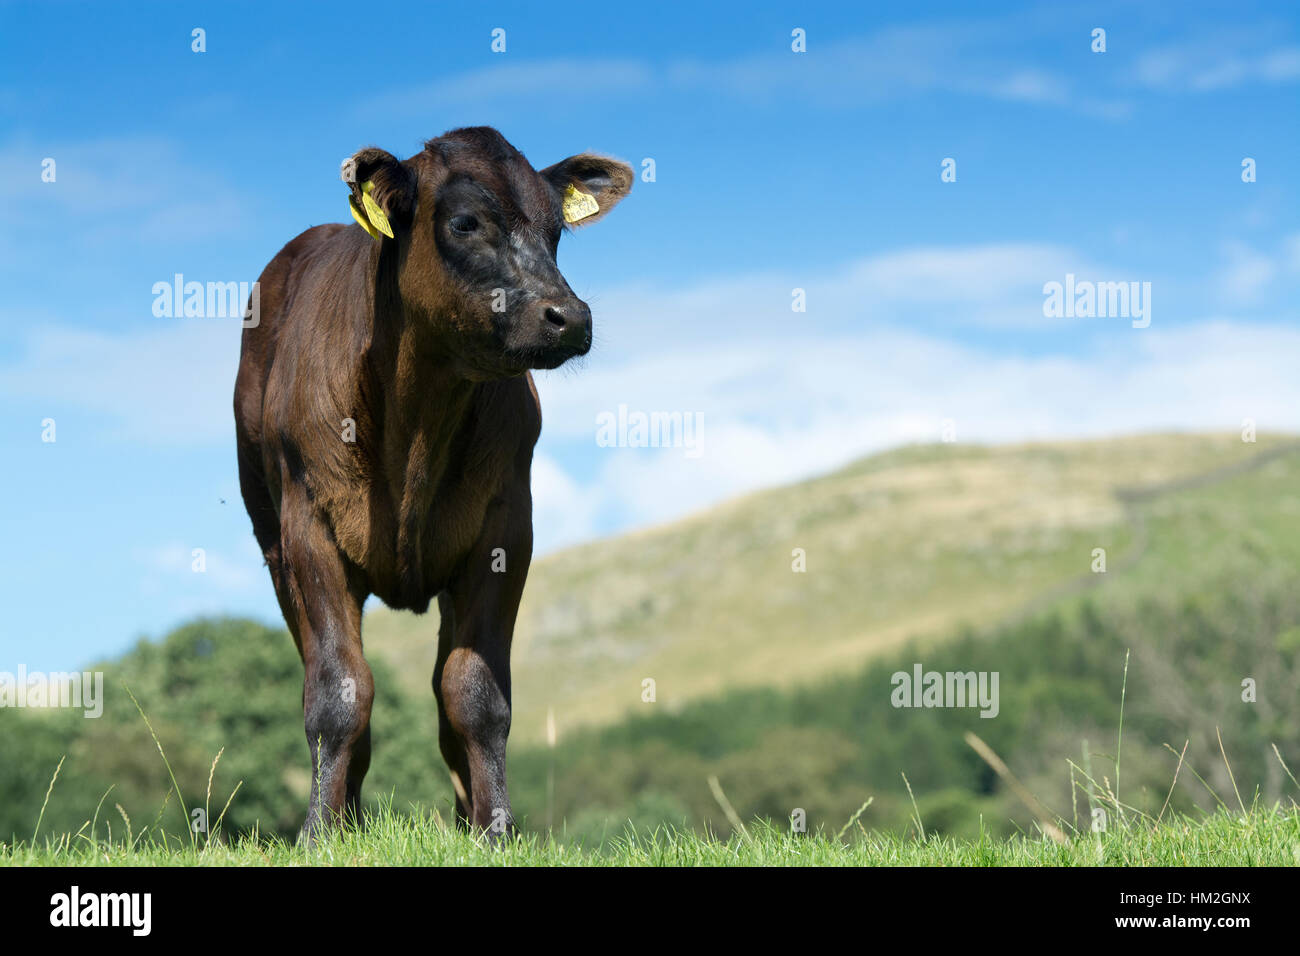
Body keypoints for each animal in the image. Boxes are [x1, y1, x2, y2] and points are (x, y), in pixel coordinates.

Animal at [233, 127, 632, 840]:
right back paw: (346, 815)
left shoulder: (506, 529)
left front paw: (496, 828)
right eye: (465, 223)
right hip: (272, 542)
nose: (570, 316)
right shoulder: (308, 529)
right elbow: (338, 691)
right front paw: (320, 830)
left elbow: (474, 693)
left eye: (556, 230)